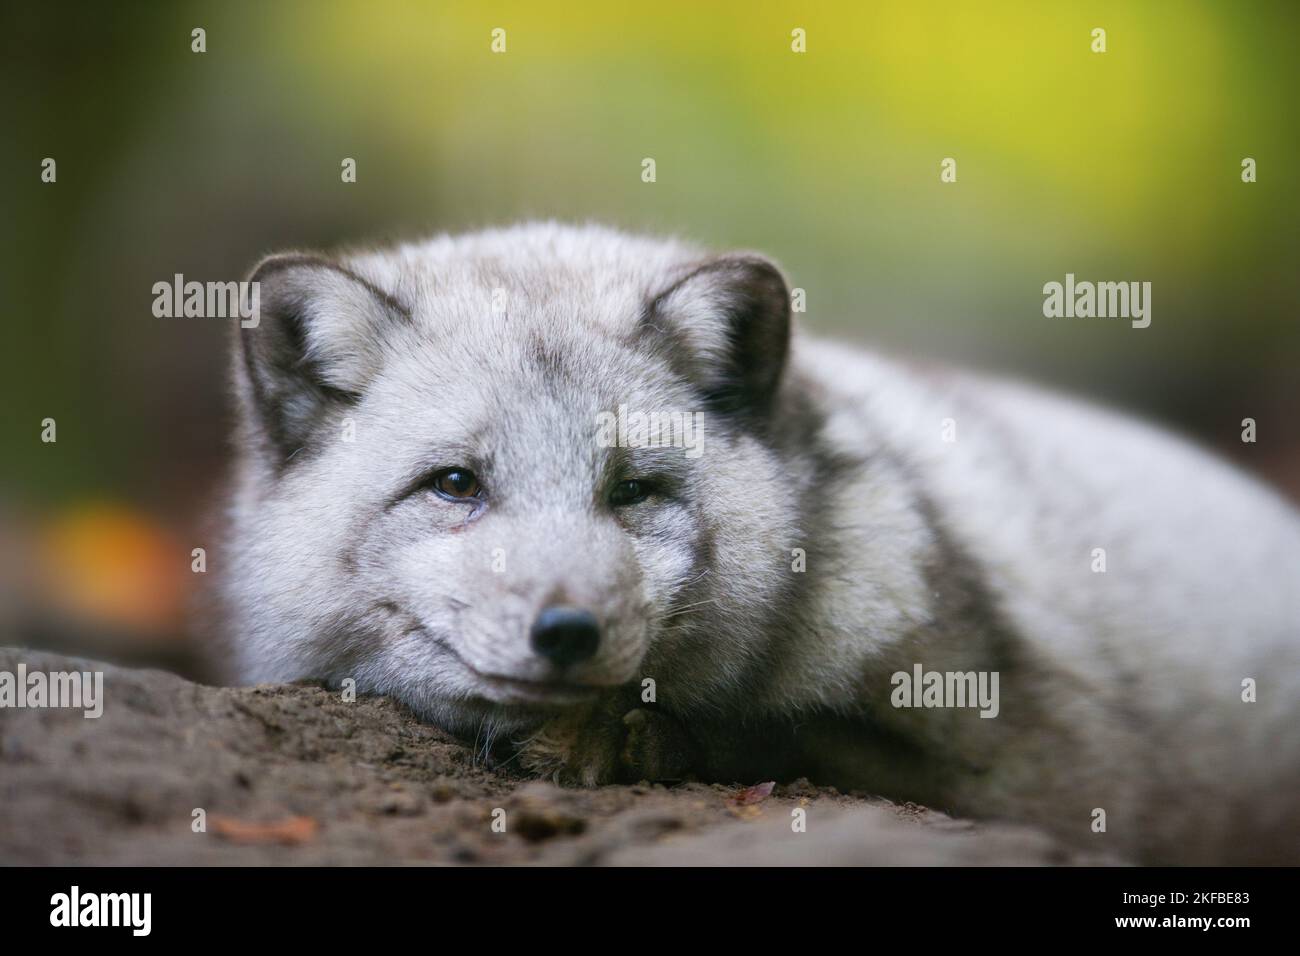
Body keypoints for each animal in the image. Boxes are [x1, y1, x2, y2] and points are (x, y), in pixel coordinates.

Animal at [221, 222, 1300, 864]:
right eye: (455, 484)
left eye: (634, 489)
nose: (566, 631)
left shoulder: (1031, 769)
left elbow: (782, 730)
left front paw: (634, 735)